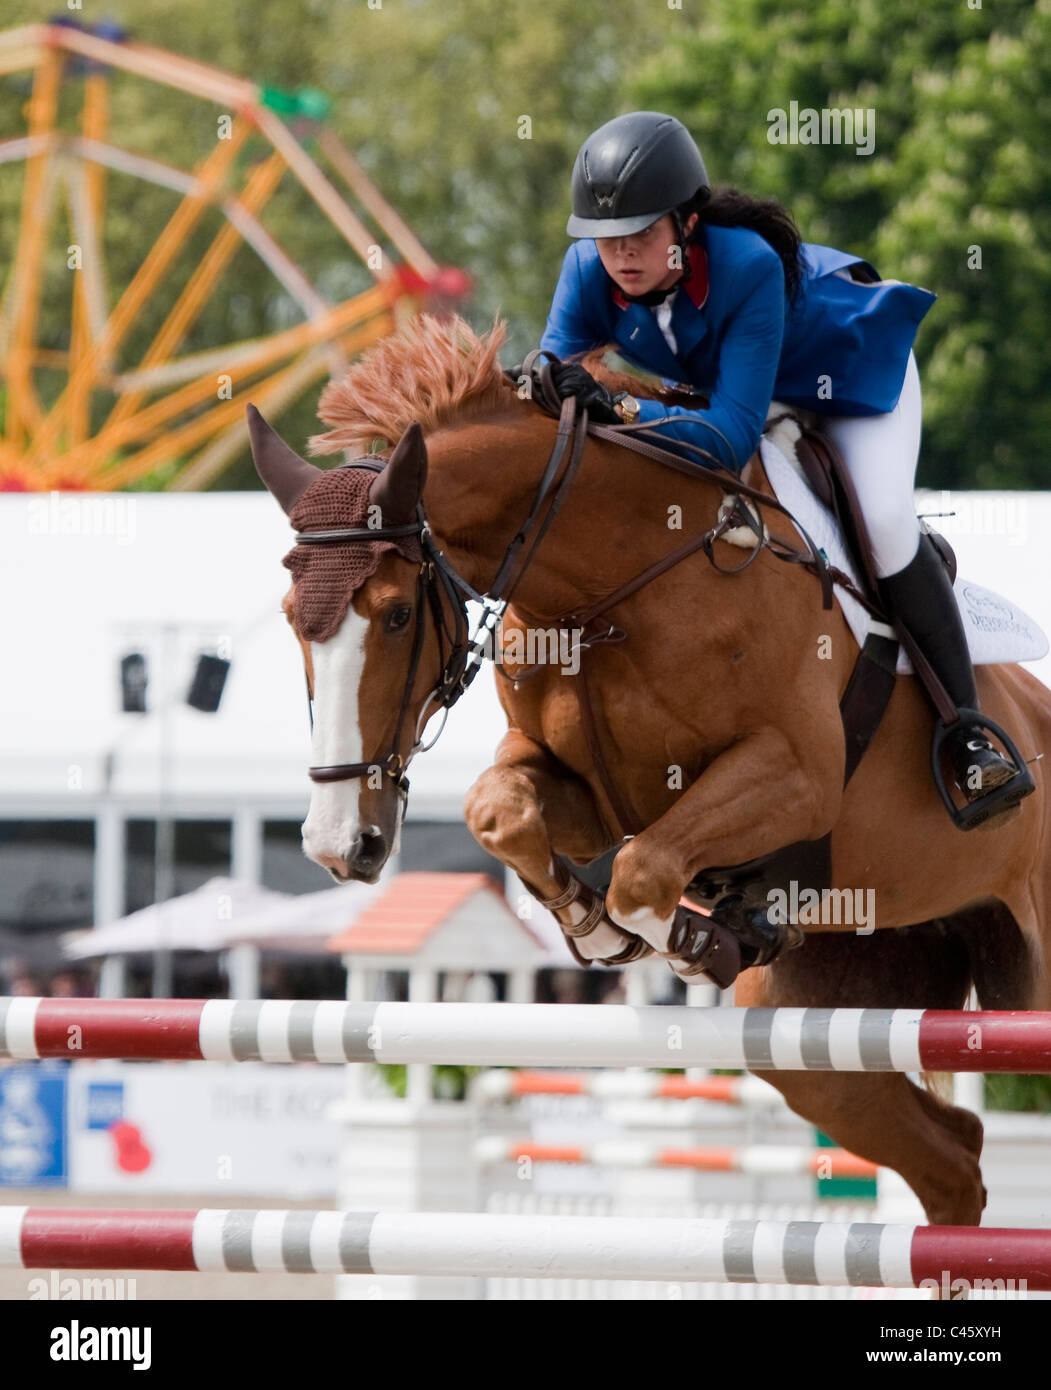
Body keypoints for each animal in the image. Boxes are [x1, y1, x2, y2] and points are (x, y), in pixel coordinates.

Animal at [248, 312, 1051, 1226]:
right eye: (292, 618)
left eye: (393, 615)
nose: (340, 843)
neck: (604, 586)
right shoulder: (587, 791)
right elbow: (502, 813)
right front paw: (597, 922)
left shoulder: (794, 778)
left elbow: (641, 872)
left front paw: (693, 938)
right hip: (830, 1012)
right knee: (953, 1158)